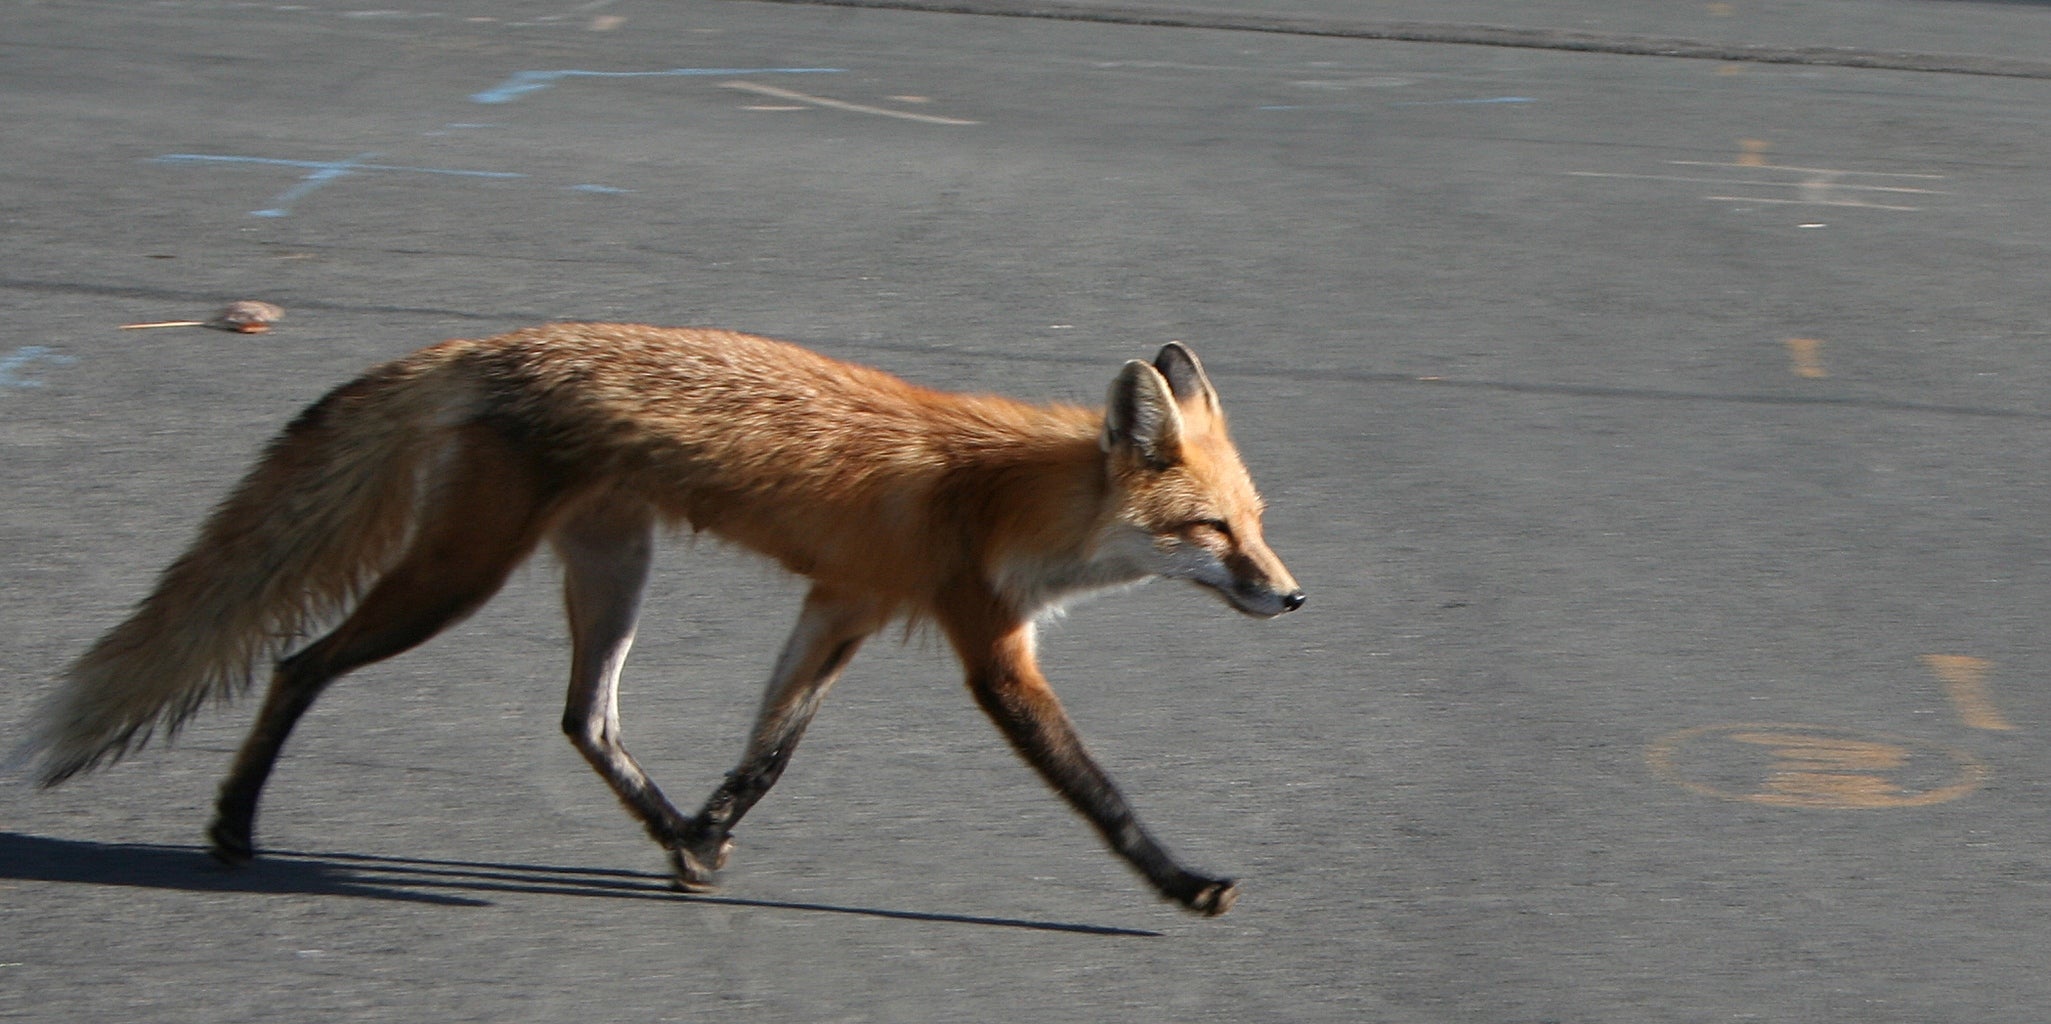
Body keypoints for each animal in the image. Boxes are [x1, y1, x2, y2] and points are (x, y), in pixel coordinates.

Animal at [19, 323, 1303, 915]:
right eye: (1208, 532)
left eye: (1255, 523)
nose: (1292, 596)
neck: (999, 493)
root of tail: (481, 345)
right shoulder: (985, 646)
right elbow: (1099, 792)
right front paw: (1182, 881)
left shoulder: (843, 603)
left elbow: (767, 755)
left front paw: (706, 833)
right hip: (455, 578)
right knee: (295, 663)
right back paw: (233, 824)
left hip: (610, 573)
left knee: (583, 720)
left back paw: (666, 826)